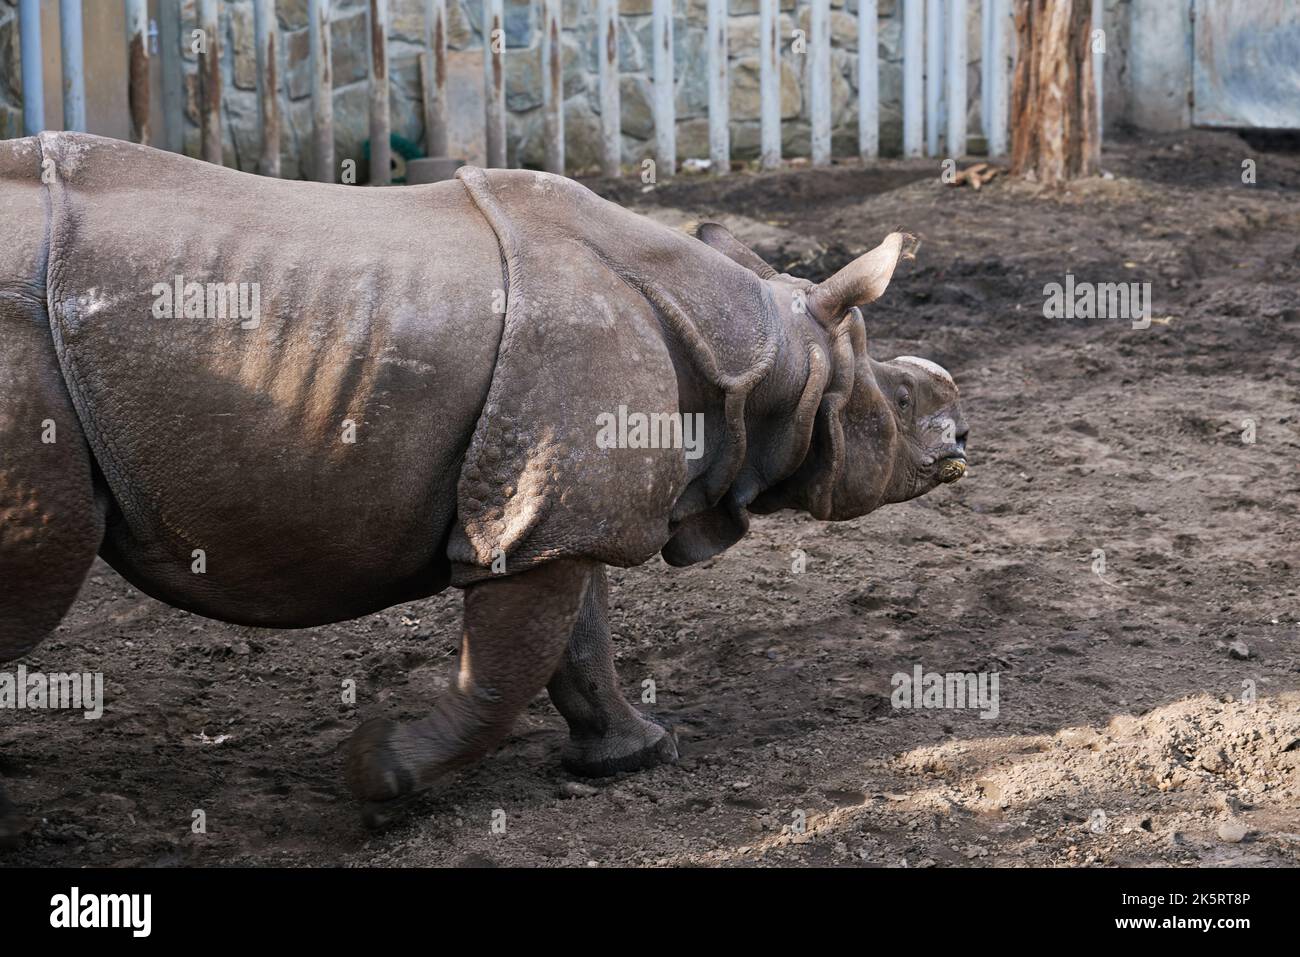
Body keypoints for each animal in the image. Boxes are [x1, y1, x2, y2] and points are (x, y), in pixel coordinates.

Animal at [0, 132, 967, 836]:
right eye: (901, 400)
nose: (963, 435)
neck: (764, 356)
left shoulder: (559, 506)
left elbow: (580, 641)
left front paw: (635, 756)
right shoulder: (539, 505)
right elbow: (508, 668)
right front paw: (378, 775)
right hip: (23, 357)